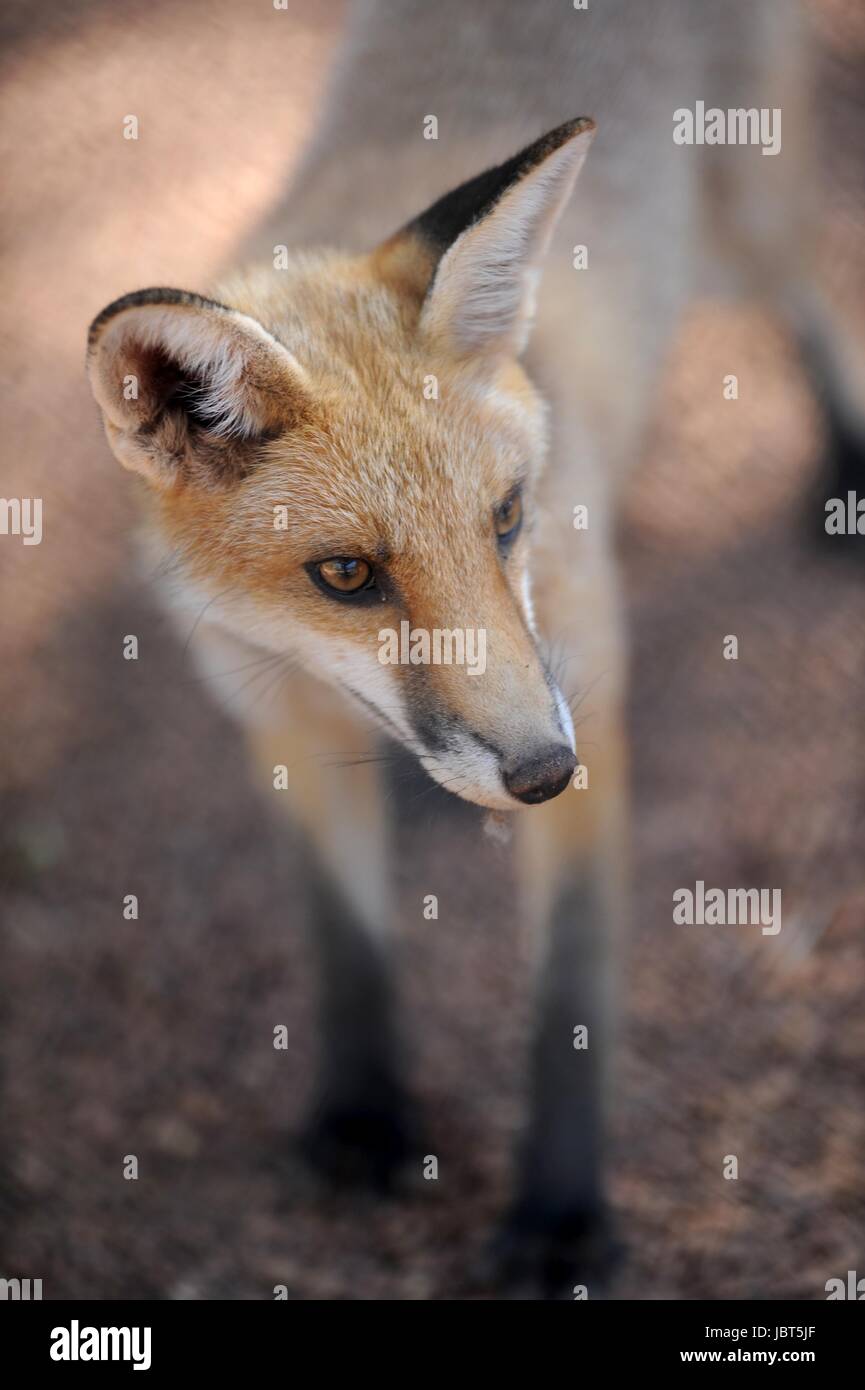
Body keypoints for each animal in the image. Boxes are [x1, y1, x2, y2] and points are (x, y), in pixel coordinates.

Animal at [85, 0, 863, 1296]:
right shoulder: (276, 718)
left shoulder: (584, 691)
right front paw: (361, 1123)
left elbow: (568, 995)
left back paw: (849, 470)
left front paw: (558, 1217)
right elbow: (346, 943)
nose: (542, 772)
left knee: (822, 288)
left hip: (746, 221)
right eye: (348, 576)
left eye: (507, 518)